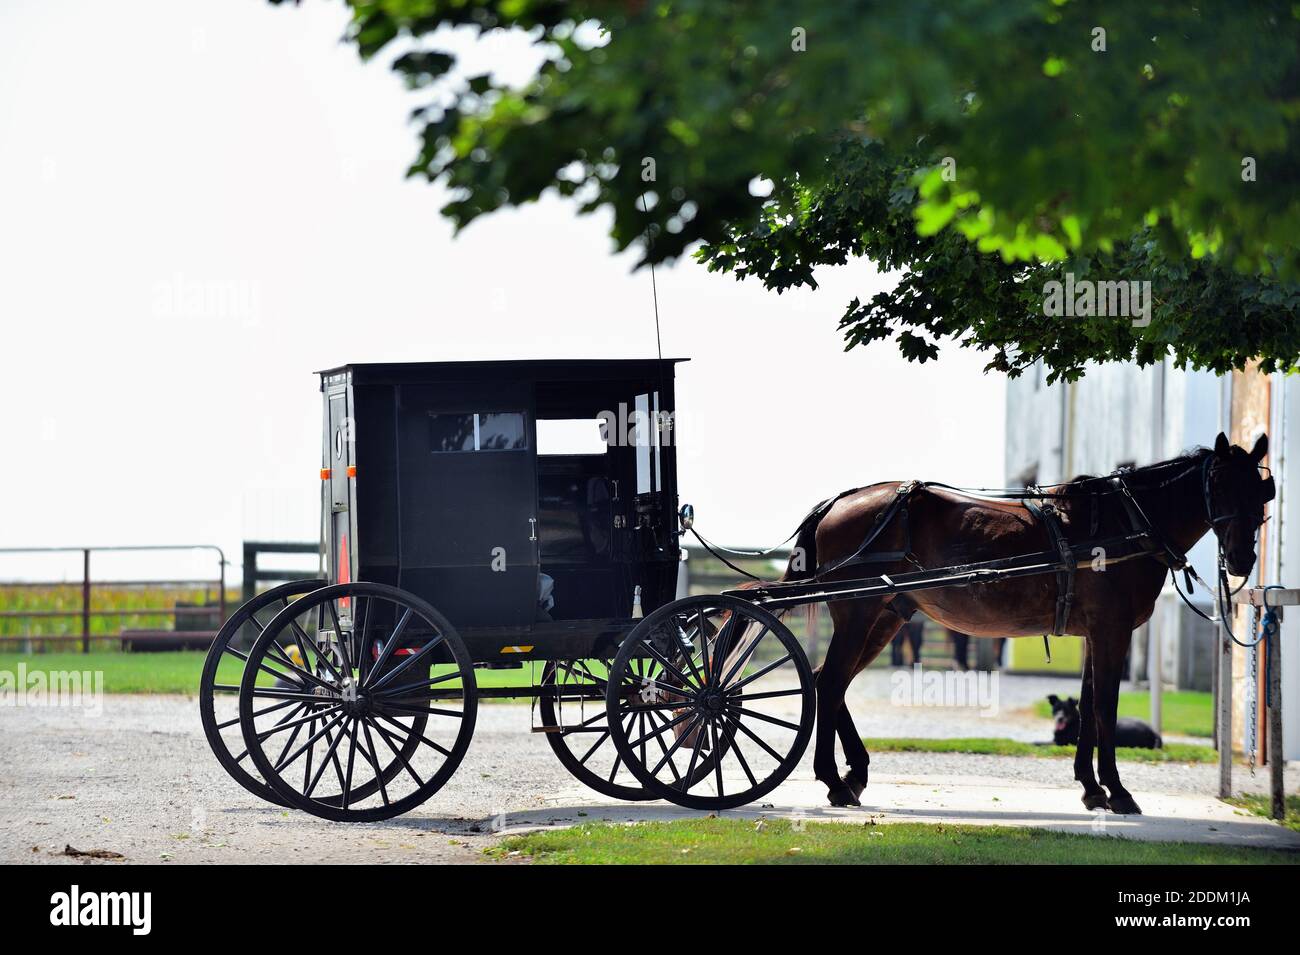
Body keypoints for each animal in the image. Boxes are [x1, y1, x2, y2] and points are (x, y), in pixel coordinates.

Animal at [784, 432, 1273, 813]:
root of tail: (841, 501)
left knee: (829, 679)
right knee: (831, 683)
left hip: (885, 616)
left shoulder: (1096, 634)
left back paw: (854, 773)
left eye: (1261, 489)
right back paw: (834, 779)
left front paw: (1092, 788)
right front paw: (1117, 791)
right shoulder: (1112, 631)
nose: (1242, 558)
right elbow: (1105, 708)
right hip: (859, 613)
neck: (1126, 524)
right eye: (1219, 483)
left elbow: (1088, 705)